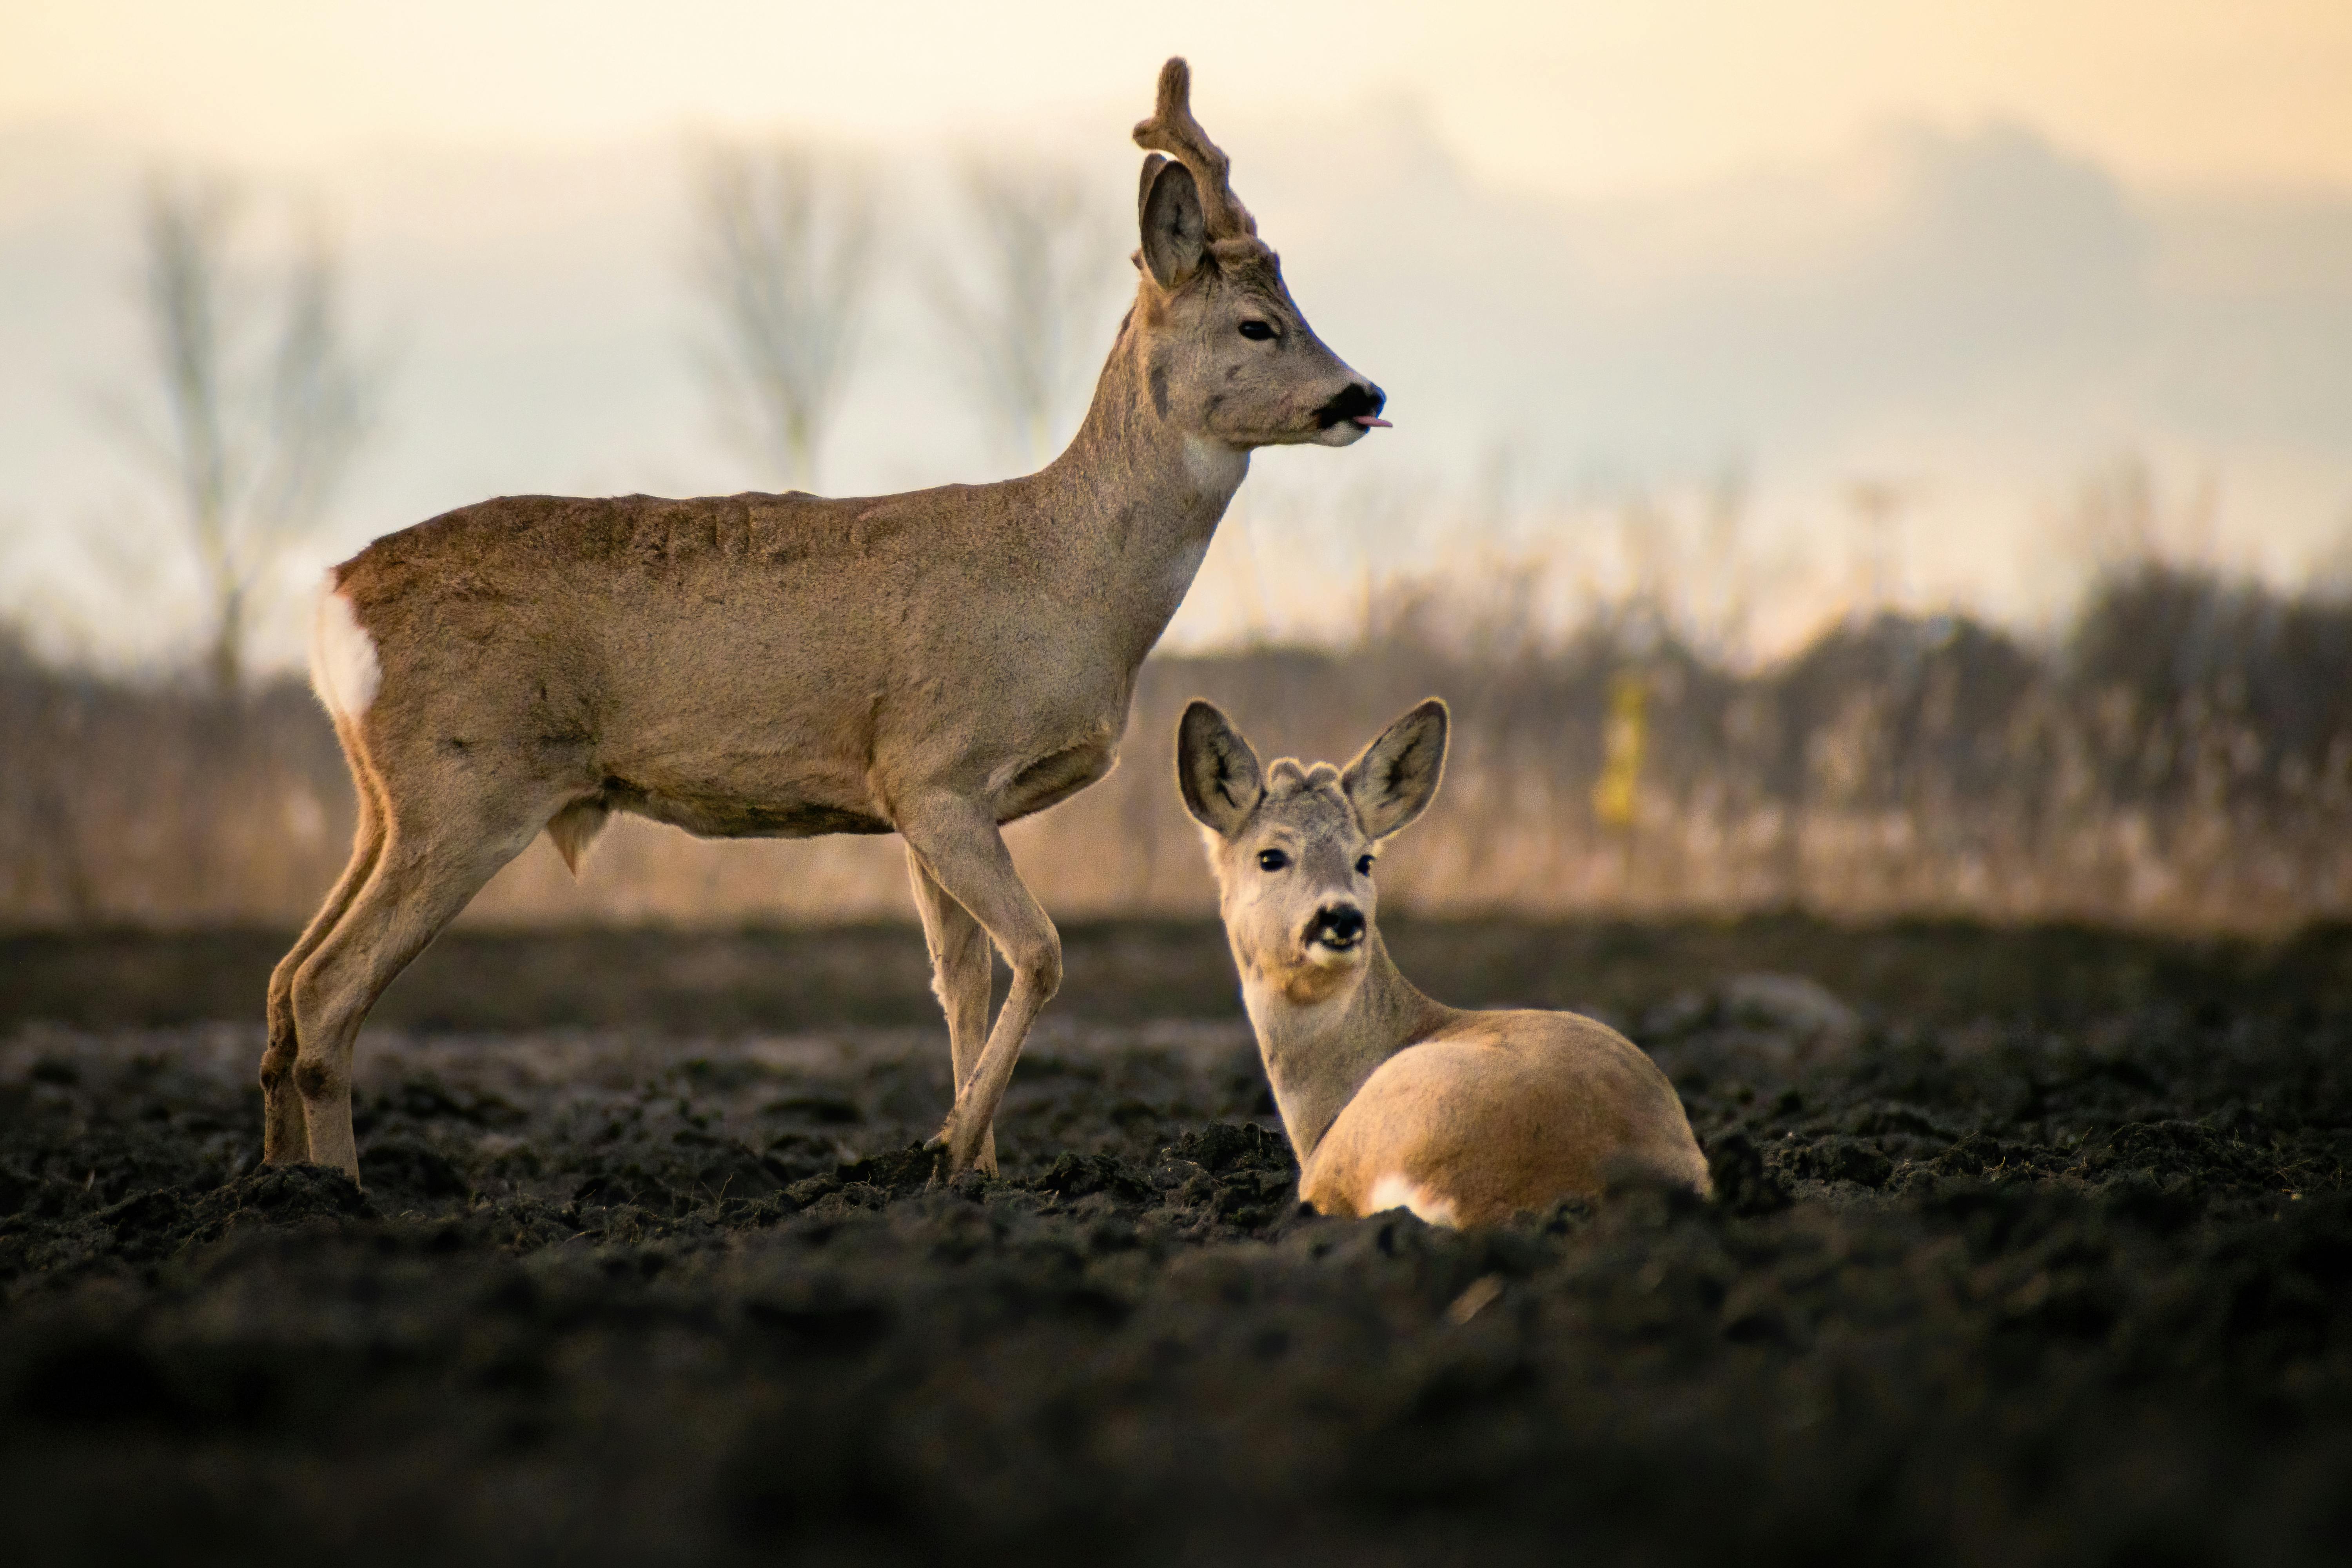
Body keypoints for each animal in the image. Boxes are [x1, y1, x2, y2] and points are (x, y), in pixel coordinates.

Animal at [266, 58, 1388, 1184]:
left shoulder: (925, 804)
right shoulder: (934, 768)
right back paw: (336, 1190)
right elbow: (1039, 954)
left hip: (389, 798)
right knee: (325, 990)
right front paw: (950, 1147)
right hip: (471, 782)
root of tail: (333, 599)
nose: (1364, 390)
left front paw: (973, 1173)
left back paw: (278, 1177)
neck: (1073, 584)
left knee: (284, 980)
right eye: (1257, 325)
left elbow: (962, 981)